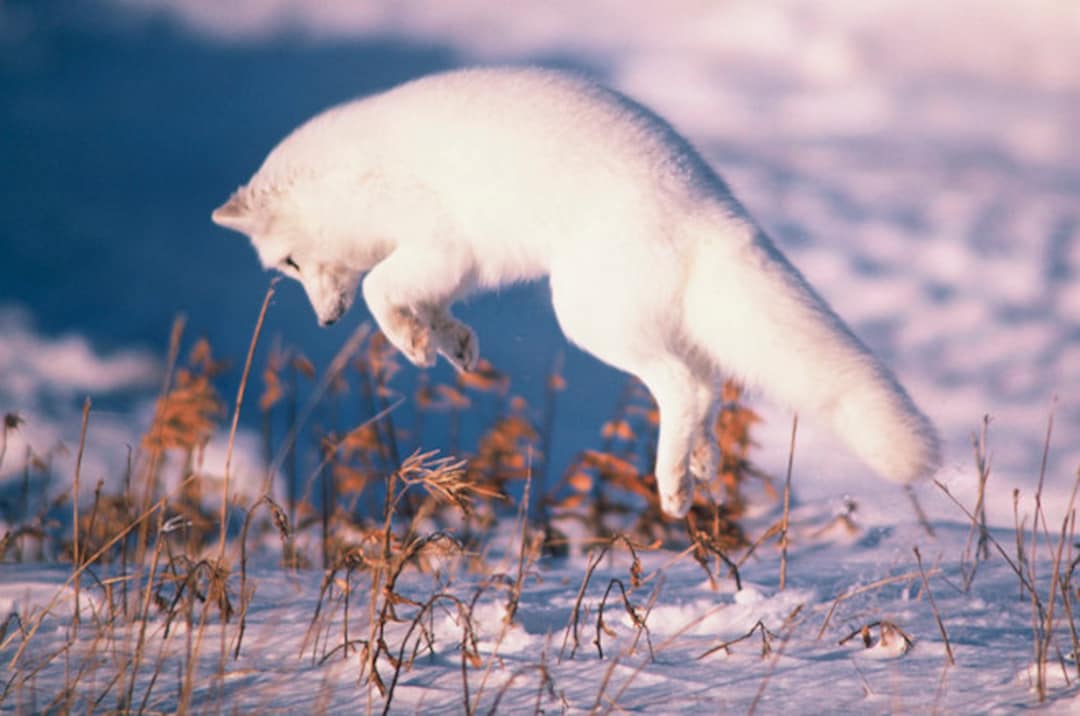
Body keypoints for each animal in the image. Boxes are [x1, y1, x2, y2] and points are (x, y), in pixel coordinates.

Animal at [212, 66, 940, 518]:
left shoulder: (437, 240)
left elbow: (380, 288)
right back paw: (697, 471)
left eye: (290, 262)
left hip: (587, 317)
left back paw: (670, 484)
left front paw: (414, 343)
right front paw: (453, 344)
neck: (352, 176)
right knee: (708, 388)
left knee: (684, 386)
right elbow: (426, 301)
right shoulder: (453, 265)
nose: (326, 325)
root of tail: (708, 205)